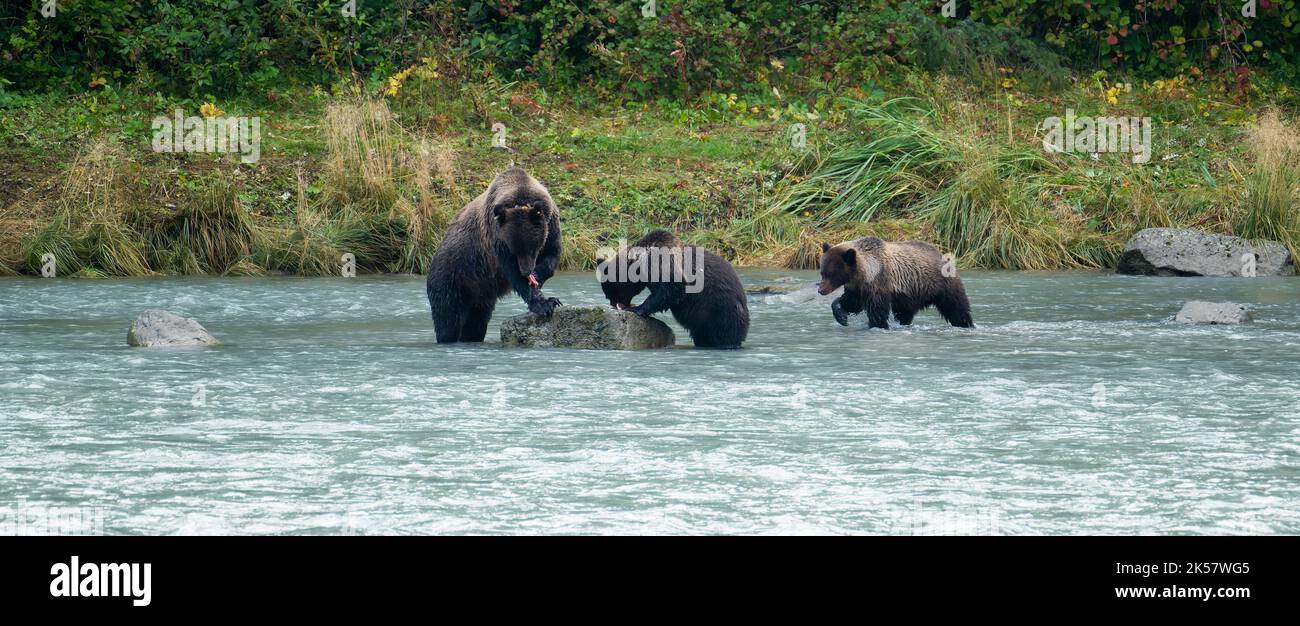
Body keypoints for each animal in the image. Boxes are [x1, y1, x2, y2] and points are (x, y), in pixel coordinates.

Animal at [426, 166, 562, 343]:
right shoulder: (496, 237)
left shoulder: (551, 223)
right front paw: (545, 304)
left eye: (532, 249)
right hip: (453, 276)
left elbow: (553, 253)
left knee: (475, 323)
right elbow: (513, 273)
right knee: (447, 319)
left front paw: (539, 278)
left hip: (480, 293)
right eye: (514, 251)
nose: (526, 271)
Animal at [599, 230, 749, 348]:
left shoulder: (664, 264)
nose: (614, 304)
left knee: (723, 334)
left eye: (610, 292)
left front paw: (636, 308)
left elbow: (671, 290)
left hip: (721, 311)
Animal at [817, 237, 973, 329]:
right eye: (822, 272)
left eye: (831, 274)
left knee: (956, 307)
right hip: (909, 294)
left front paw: (877, 325)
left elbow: (877, 310)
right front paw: (842, 317)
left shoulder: (879, 282)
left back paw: (966, 324)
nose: (821, 290)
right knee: (904, 313)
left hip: (941, 284)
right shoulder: (858, 287)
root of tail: (941, 254)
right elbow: (851, 303)